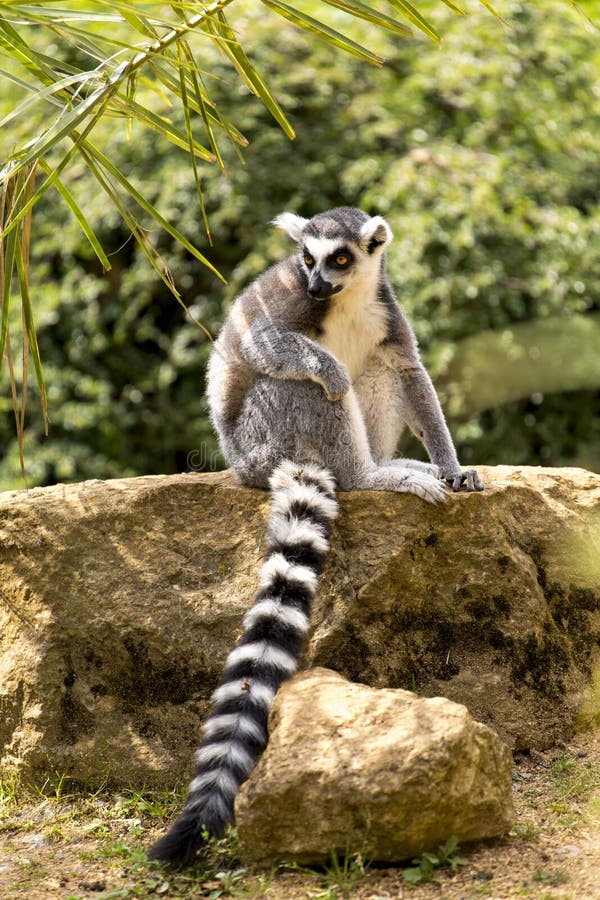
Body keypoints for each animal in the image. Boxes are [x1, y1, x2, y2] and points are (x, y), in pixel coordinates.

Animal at [148, 207, 483, 863]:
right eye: (307, 258)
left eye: (341, 259)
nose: (317, 285)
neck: (346, 300)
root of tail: (245, 465)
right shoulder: (284, 301)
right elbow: (262, 344)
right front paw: (323, 366)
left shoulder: (386, 310)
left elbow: (408, 369)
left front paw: (452, 467)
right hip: (266, 435)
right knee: (309, 384)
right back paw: (366, 474)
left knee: (375, 370)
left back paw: (395, 466)